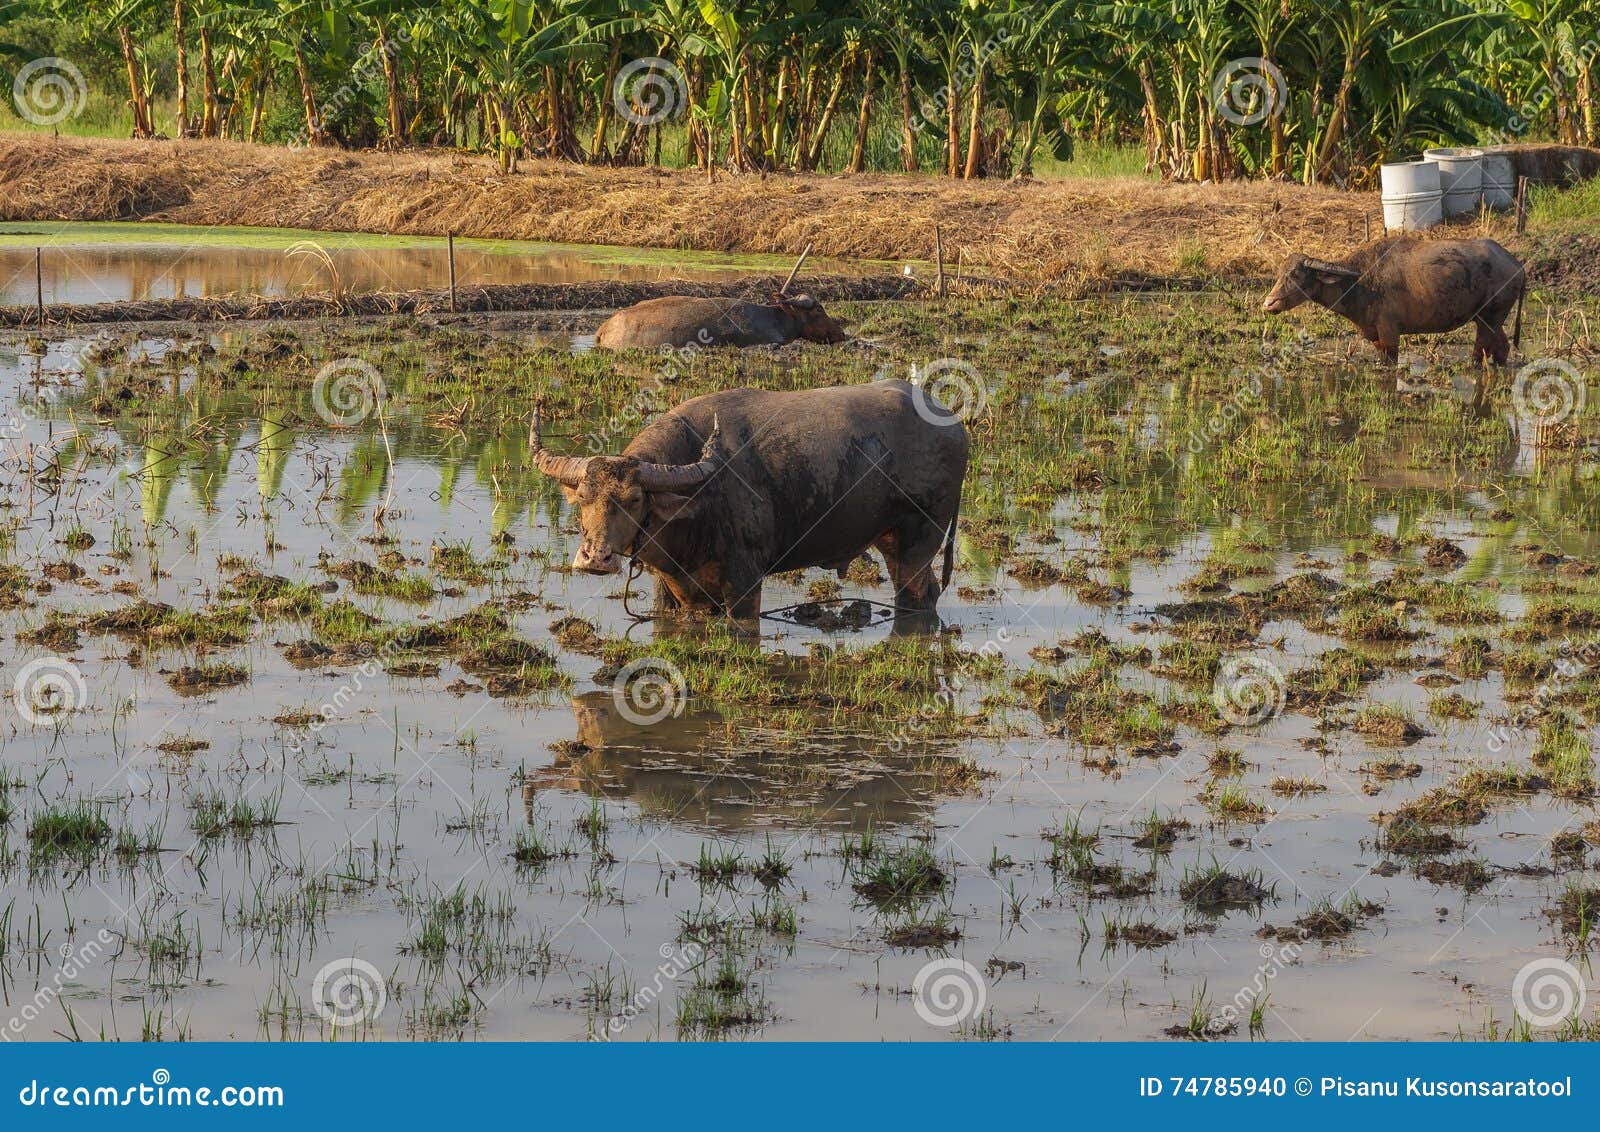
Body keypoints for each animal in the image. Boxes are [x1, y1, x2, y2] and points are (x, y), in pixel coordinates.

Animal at [531, 379, 967, 619]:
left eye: (635, 499)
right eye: (583, 497)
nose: (595, 558)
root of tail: (956, 426)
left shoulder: (745, 584)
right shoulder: (670, 590)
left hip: (920, 542)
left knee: (920, 595)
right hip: (891, 541)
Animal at [1262, 237, 1525, 365]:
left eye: (1295, 275)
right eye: (1279, 274)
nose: (1269, 304)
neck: (1361, 281)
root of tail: (1516, 265)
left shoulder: (1390, 333)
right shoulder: (1375, 335)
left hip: (1489, 319)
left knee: (1480, 351)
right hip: (1489, 320)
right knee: (1501, 348)